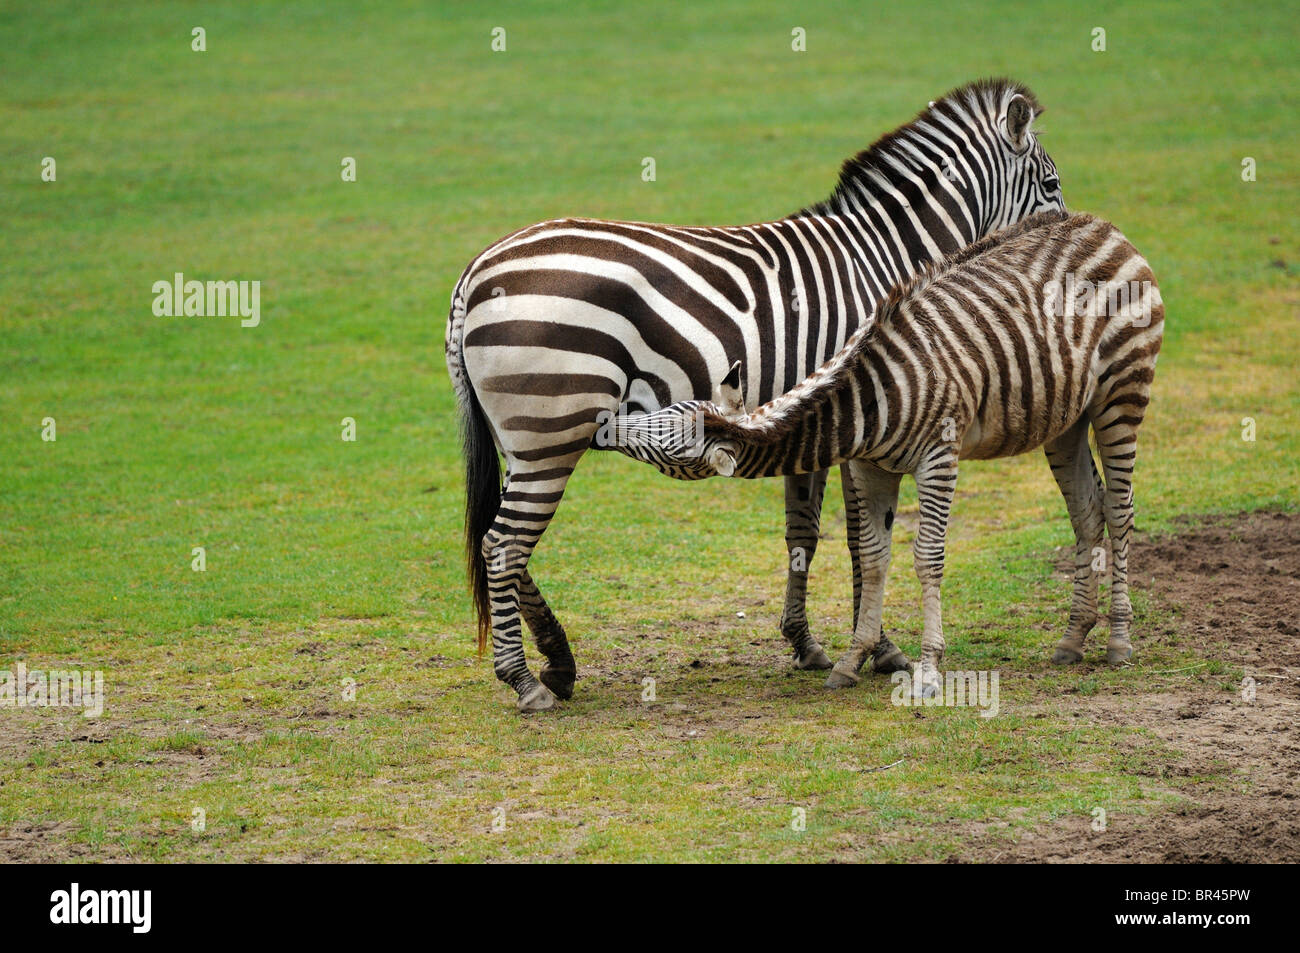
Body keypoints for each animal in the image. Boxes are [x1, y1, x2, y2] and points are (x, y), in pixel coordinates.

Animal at [447, 78, 1066, 711]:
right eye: (1051, 185)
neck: (885, 256)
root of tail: (475, 272)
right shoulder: (861, 411)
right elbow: (860, 539)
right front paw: (881, 649)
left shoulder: (814, 419)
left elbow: (804, 532)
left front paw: (805, 643)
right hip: (550, 431)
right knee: (502, 545)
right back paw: (524, 681)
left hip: (525, 440)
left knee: (503, 540)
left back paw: (559, 662)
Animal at [631, 210, 1164, 697]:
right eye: (667, 415)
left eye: (667, 445)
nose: (613, 424)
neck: (867, 399)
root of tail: (1098, 225)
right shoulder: (870, 468)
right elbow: (871, 558)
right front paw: (852, 660)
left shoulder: (938, 459)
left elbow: (927, 556)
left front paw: (928, 670)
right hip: (1066, 420)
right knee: (1087, 512)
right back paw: (1073, 638)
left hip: (1121, 394)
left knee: (1119, 510)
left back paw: (1118, 640)